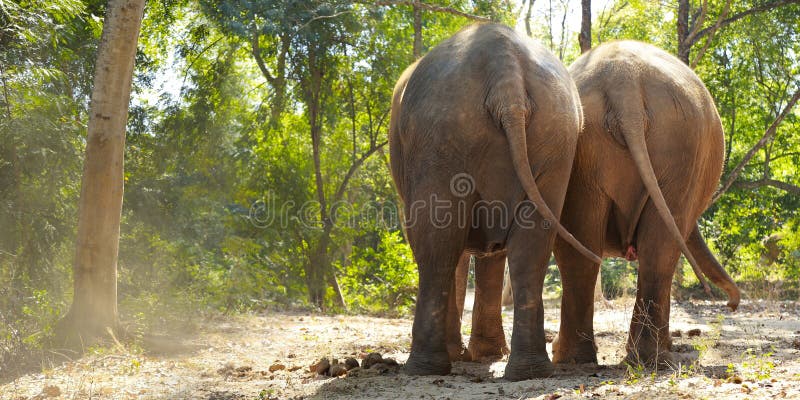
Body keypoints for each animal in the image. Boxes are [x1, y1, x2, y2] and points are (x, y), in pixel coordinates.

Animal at [388, 23, 601, 380]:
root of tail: (505, 69)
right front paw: (484, 354)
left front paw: (472, 355)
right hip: (556, 138)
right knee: (533, 244)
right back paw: (529, 371)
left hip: (439, 137)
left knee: (437, 243)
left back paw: (422, 369)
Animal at [454, 41, 741, 367]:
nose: (731, 304)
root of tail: (624, 82)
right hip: (668, 151)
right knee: (650, 248)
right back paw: (616, 357)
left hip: (659, 146)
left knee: (640, 249)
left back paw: (619, 357)